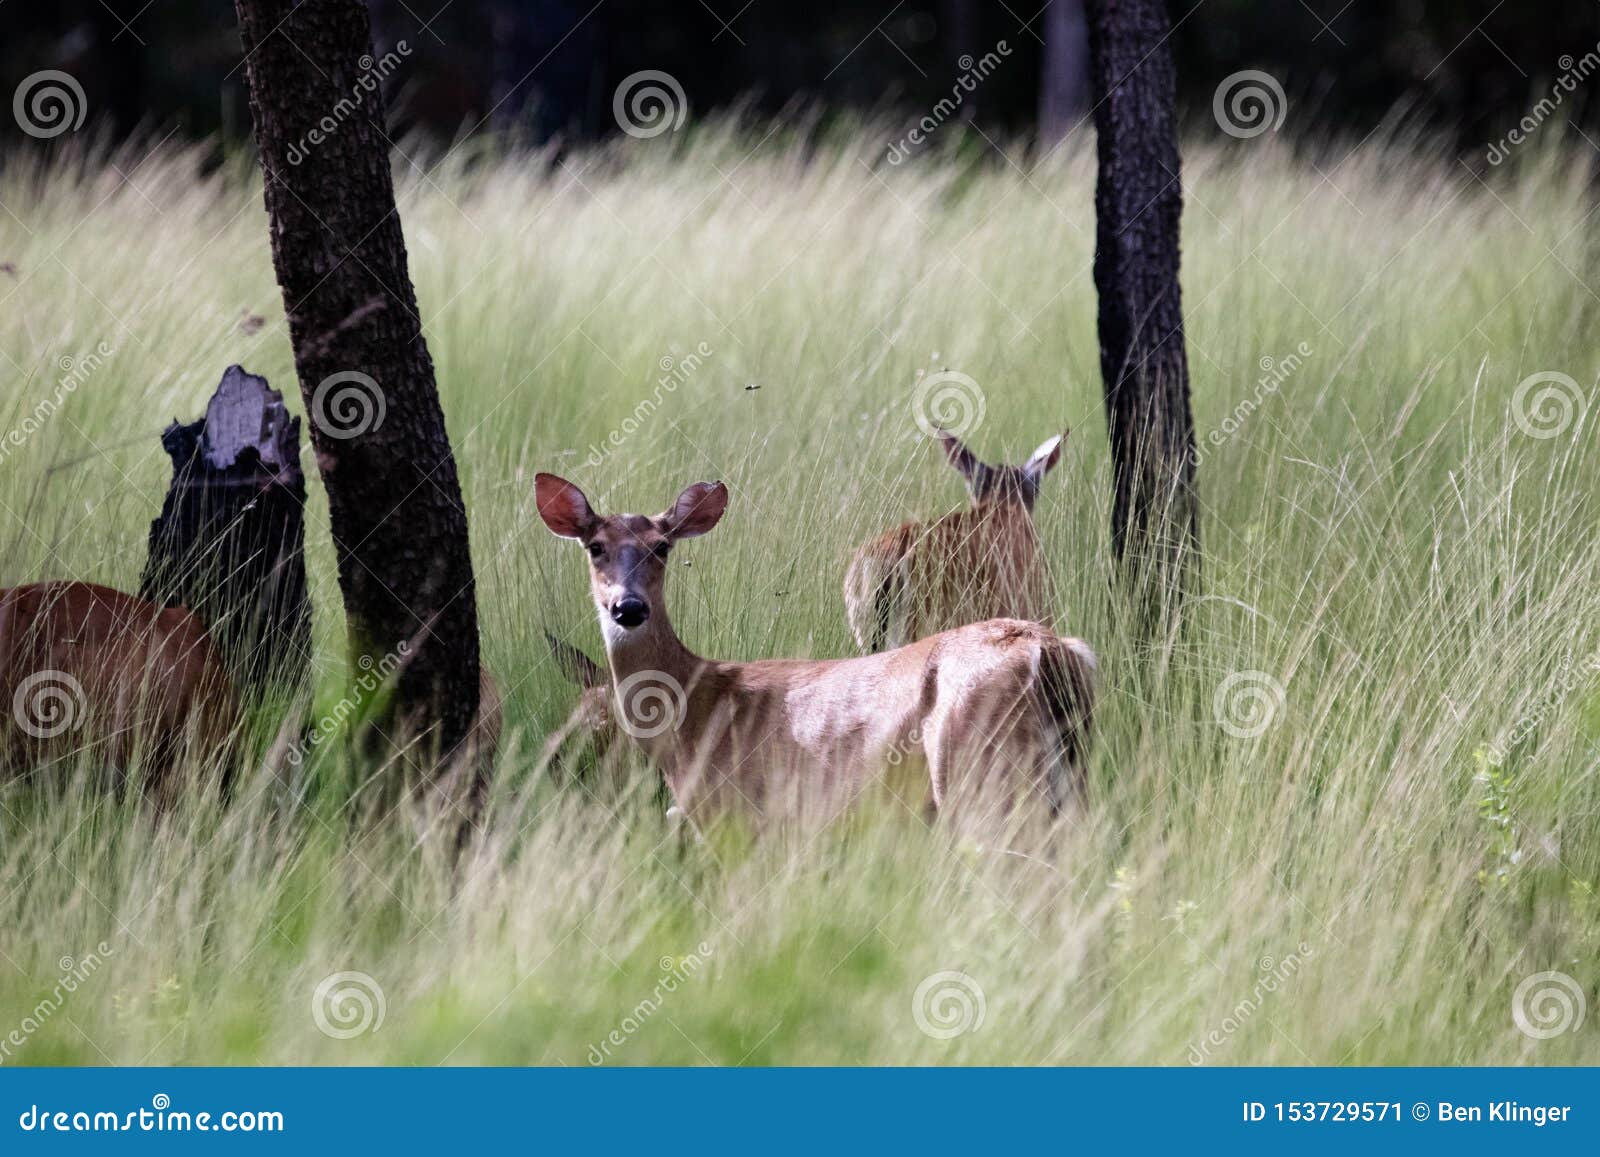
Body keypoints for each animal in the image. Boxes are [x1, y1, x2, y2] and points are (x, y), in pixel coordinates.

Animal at [535, 473, 1095, 837]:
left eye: (662, 546)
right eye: (595, 546)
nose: (628, 607)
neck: (694, 708)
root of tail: (1048, 650)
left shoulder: (747, 820)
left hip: (983, 773)